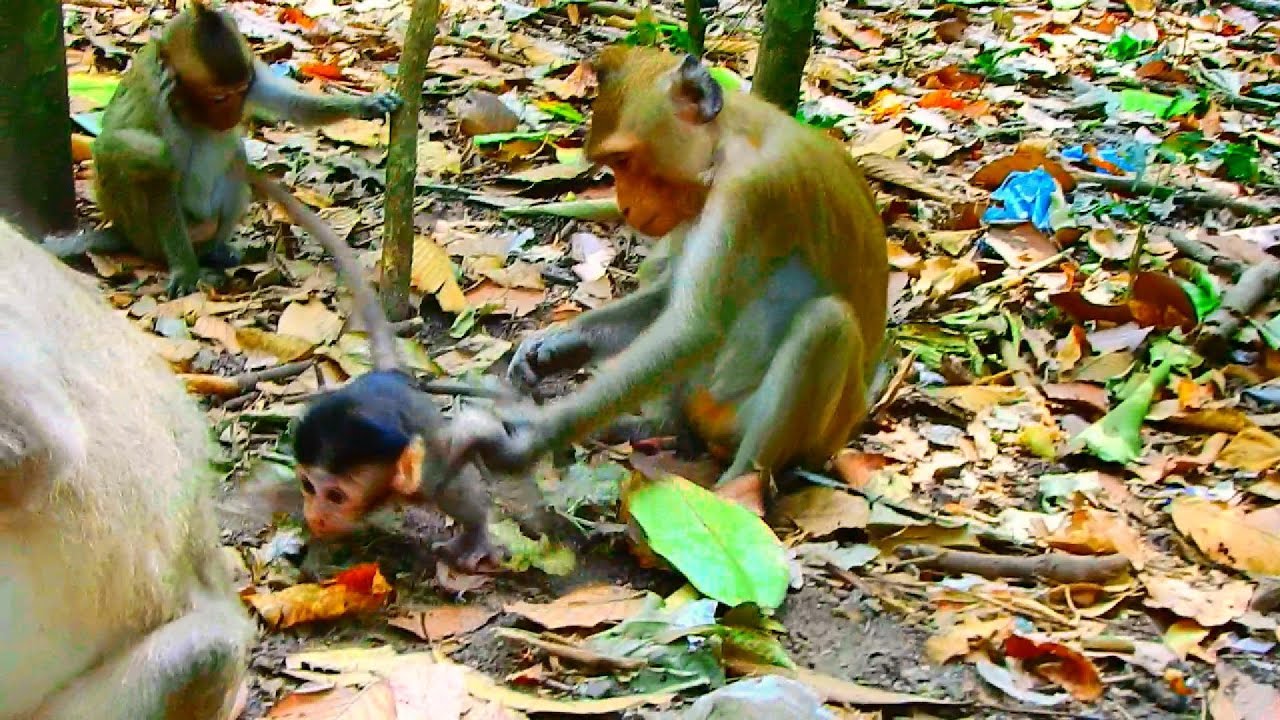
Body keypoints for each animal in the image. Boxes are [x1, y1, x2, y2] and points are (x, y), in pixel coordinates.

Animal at [46, 0, 402, 296]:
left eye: (242, 90)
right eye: (219, 97)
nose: (233, 114)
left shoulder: (252, 70)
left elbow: (292, 105)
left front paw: (367, 104)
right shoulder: (154, 92)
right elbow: (128, 153)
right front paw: (185, 271)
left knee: (235, 158)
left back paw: (216, 252)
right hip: (143, 229)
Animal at [245, 168, 508, 574]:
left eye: (336, 496)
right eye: (309, 486)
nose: (316, 515)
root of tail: (389, 377)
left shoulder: (430, 472)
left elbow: (460, 488)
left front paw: (475, 536)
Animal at [460, 46, 889, 491]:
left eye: (624, 159)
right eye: (614, 165)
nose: (624, 205)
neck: (729, 143)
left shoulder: (752, 192)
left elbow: (694, 329)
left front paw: (534, 434)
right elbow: (671, 301)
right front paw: (557, 344)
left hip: (802, 433)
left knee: (825, 323)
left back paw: (737, 490)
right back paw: (657, 425)